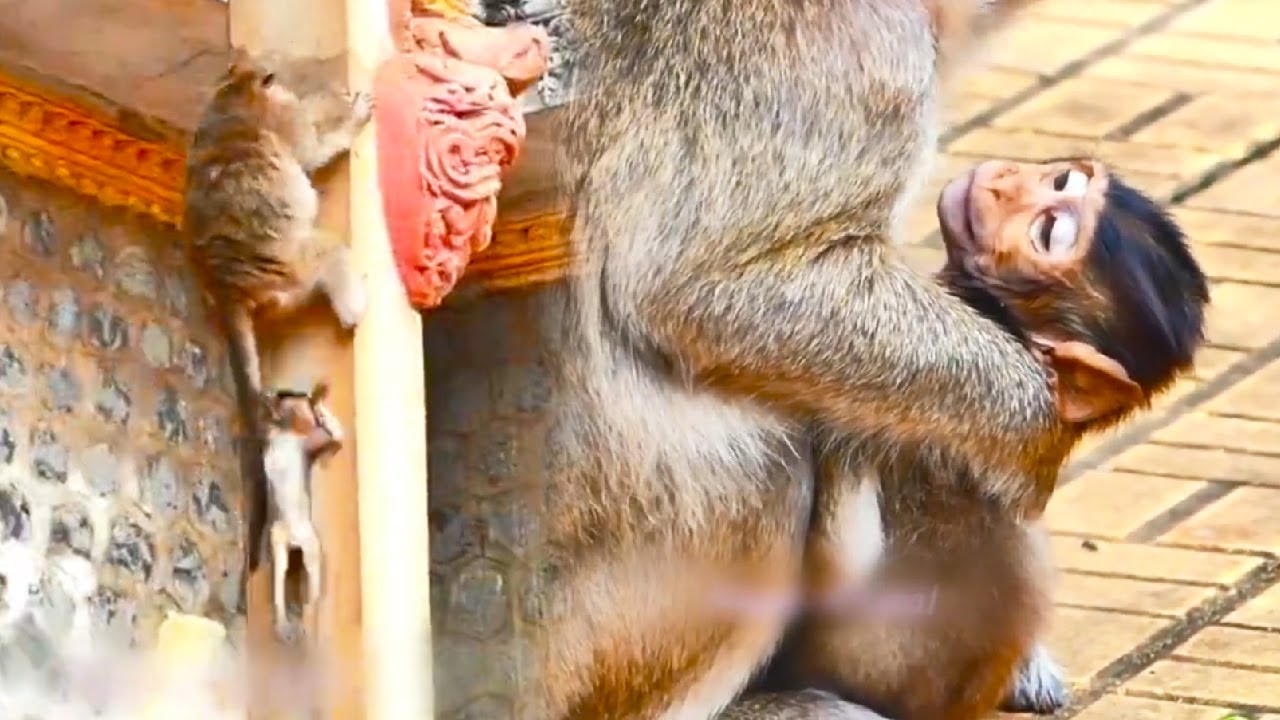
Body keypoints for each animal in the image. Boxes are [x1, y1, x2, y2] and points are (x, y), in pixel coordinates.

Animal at [182, 49, 373, 575]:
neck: (237, 94)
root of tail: (228, 288)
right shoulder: (284, 120)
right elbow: (311, 149)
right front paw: (349, 116)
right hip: (293, 268)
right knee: (330, 254)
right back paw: (352, 305)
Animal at [261, 383, 342, 642]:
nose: (271, 393)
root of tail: (291, 535)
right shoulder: (310, 439)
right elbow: (336, 433)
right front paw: (320, 405)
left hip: (278, 543)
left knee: (279, 582)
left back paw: (284, 626)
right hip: (312, 545)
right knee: (314, 591)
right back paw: (308, 615)